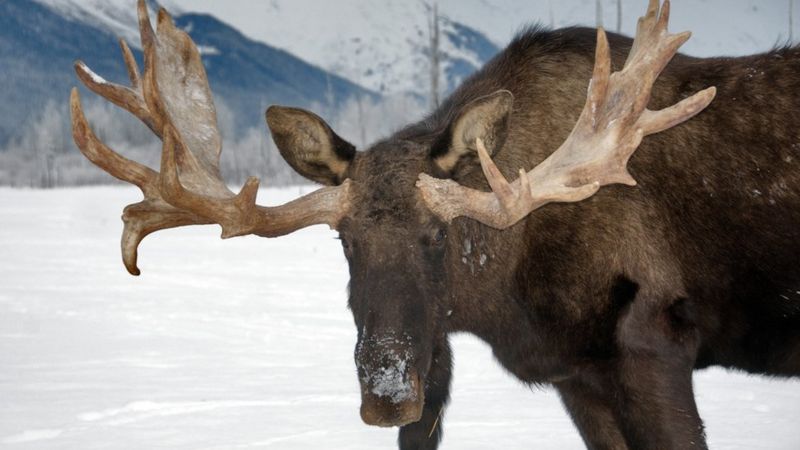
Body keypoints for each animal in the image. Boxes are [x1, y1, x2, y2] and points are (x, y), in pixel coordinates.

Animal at [70, 0, 800, 448]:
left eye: (438, 235)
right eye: (344, 242)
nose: (387, 392)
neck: (509, 301)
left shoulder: (654, 343)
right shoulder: (578, 378)